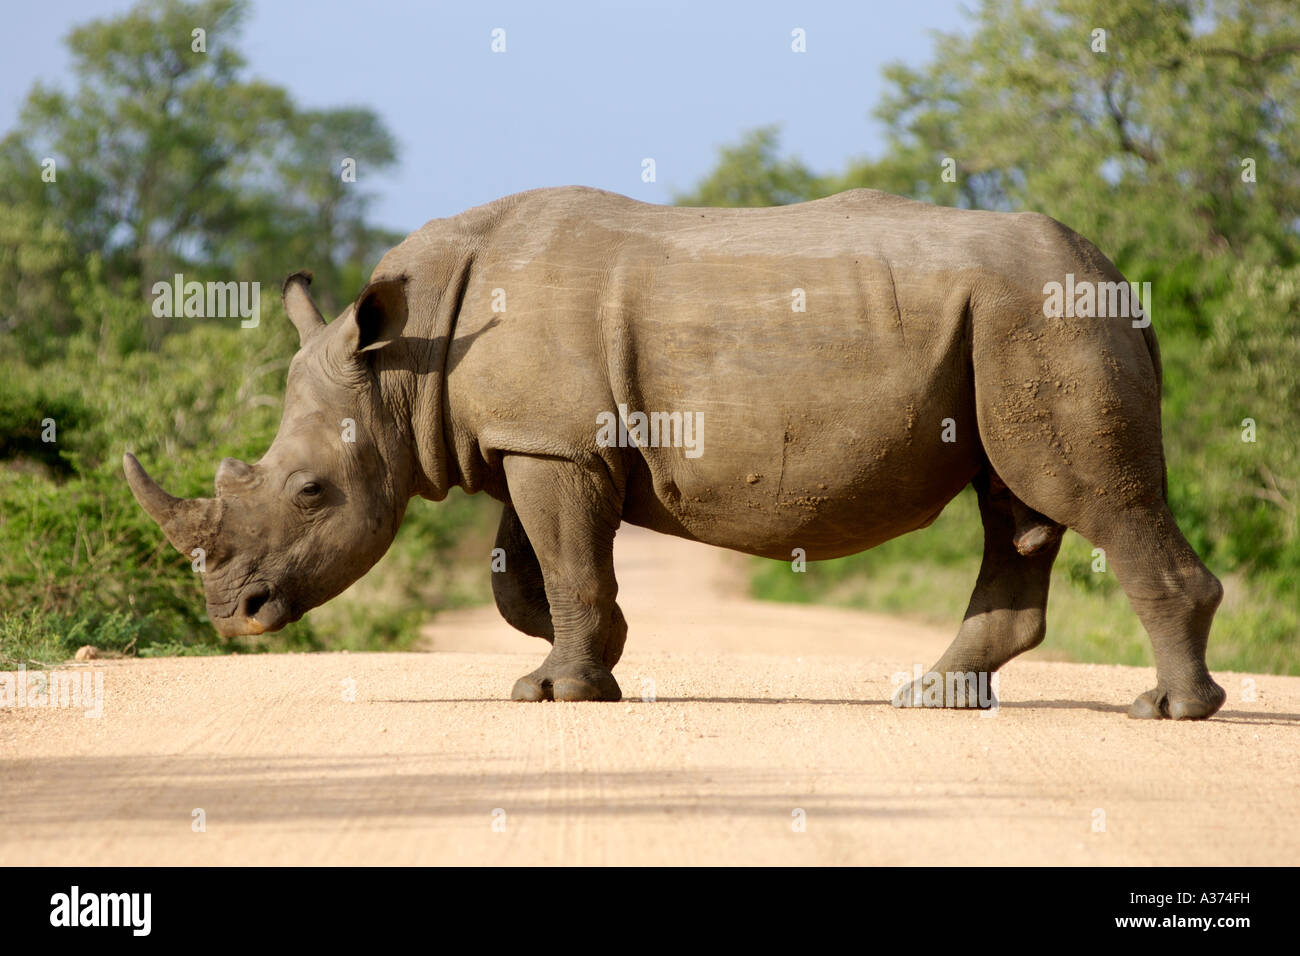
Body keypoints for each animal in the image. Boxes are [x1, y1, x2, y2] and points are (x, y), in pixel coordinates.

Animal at [124, 186, 1227, 720]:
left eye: (310, 491)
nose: (233, 616)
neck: (410, 356)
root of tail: (1117, 276)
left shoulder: (553, 446)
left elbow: (564, 567)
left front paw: (561, 692)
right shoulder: (542, 439)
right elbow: (523, 576)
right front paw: (590, 663)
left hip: (1044, 318)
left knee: (1083, 496)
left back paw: (1166, 711)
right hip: (1017, 323)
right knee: (1017, 504)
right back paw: (932, 697)